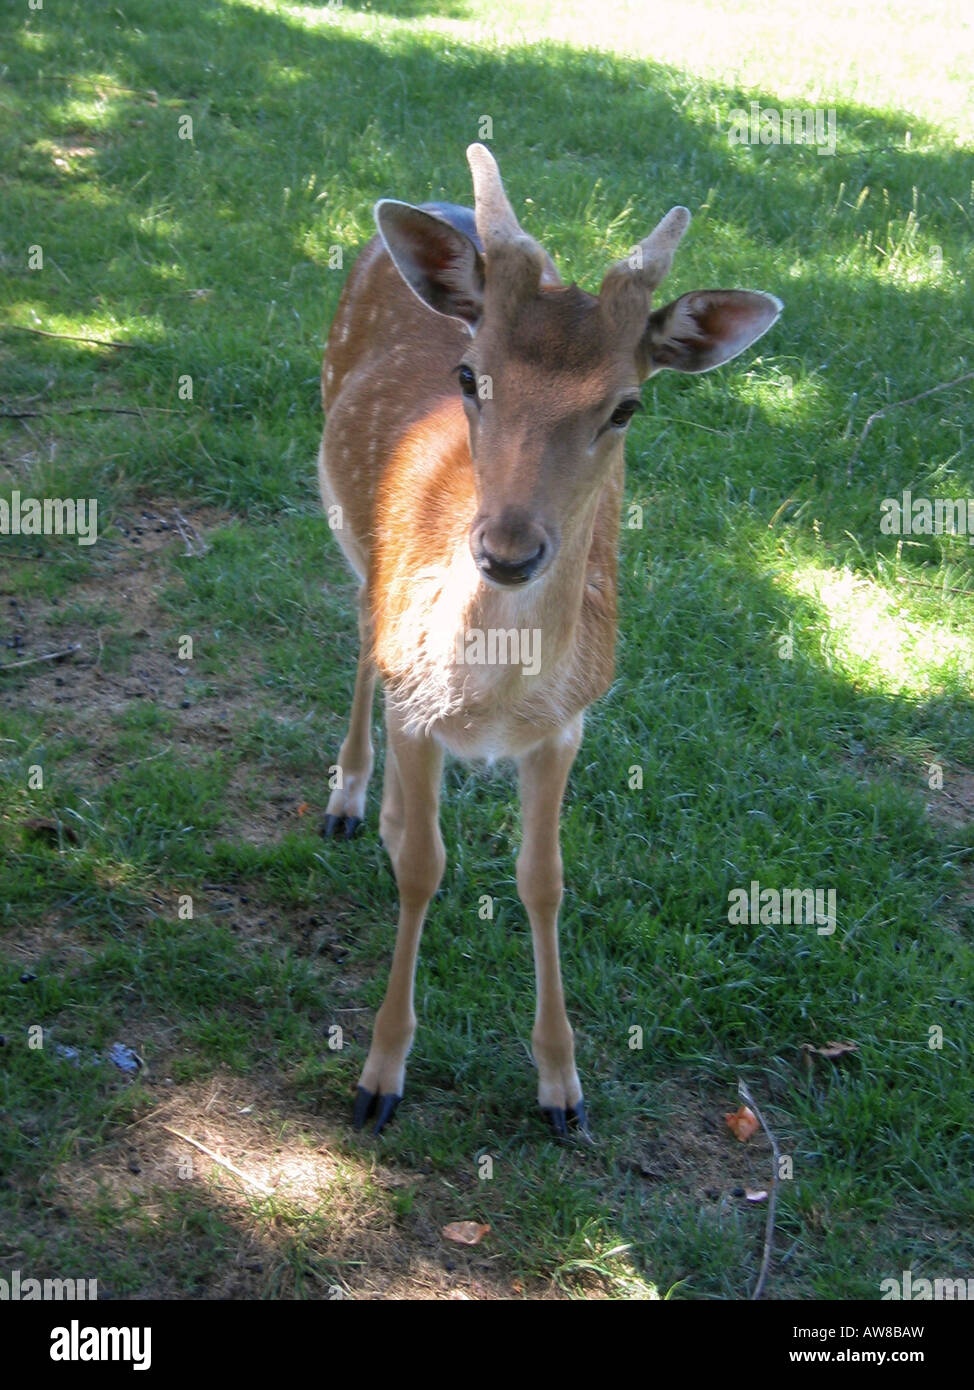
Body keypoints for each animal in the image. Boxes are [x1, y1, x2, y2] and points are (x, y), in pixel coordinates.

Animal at [318, 144, 781, 1136]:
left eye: (627, 406)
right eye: (469, 376)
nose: (507, 550)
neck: (490, 694)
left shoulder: (569, 723)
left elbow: (545, 879)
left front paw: (562, 1086)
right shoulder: (415, 702)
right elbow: (425, 869)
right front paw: (379, 1076)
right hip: (350, 535)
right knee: (361, 642)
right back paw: (348, 798)